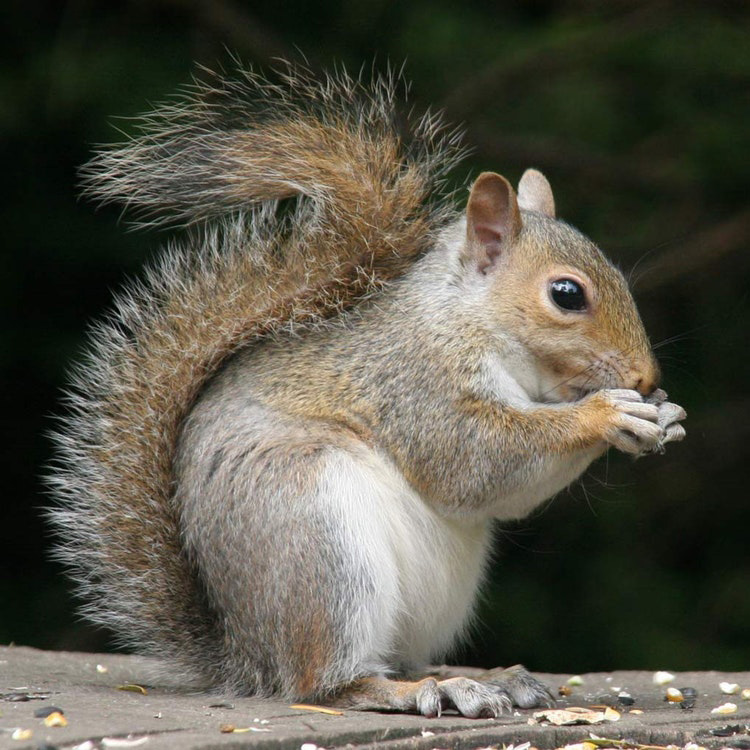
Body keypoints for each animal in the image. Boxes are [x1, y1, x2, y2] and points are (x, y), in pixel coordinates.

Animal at [47, 64, 686, 718]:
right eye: (566, 294)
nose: (646, 378)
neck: (468, 319)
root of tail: (248, 654)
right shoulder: (415, 382)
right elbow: (475, 461)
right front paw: (606, 414)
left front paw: (663, 417)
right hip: (319, 539)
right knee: (327, 682)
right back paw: (415, 690)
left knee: (398, 655)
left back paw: (484, 678)